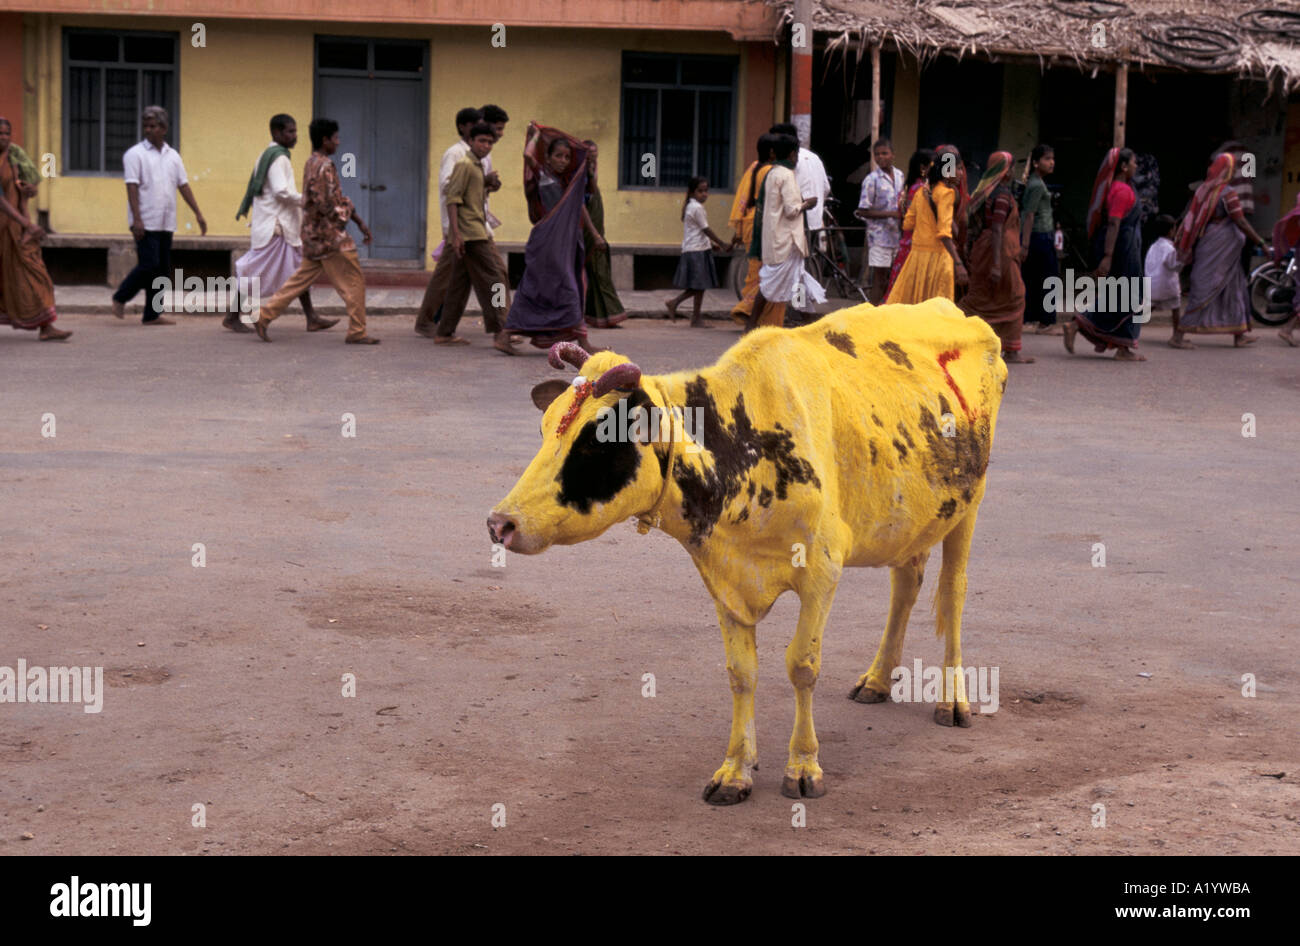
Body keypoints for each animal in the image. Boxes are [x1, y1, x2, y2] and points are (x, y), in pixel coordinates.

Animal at [487, 298, 1008, 805]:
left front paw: (803, 766)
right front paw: (736, 770)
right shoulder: (724, 579)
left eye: (597, 443)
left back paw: (953, 699)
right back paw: (879, 679)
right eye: (546, 428)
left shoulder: (822, 572)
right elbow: (741, 673)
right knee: (906, 584)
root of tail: (961, 314)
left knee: (953, 594)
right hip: (916, 518)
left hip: (970, 505)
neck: (743, 447)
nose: (501, 523)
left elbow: (802, 665)